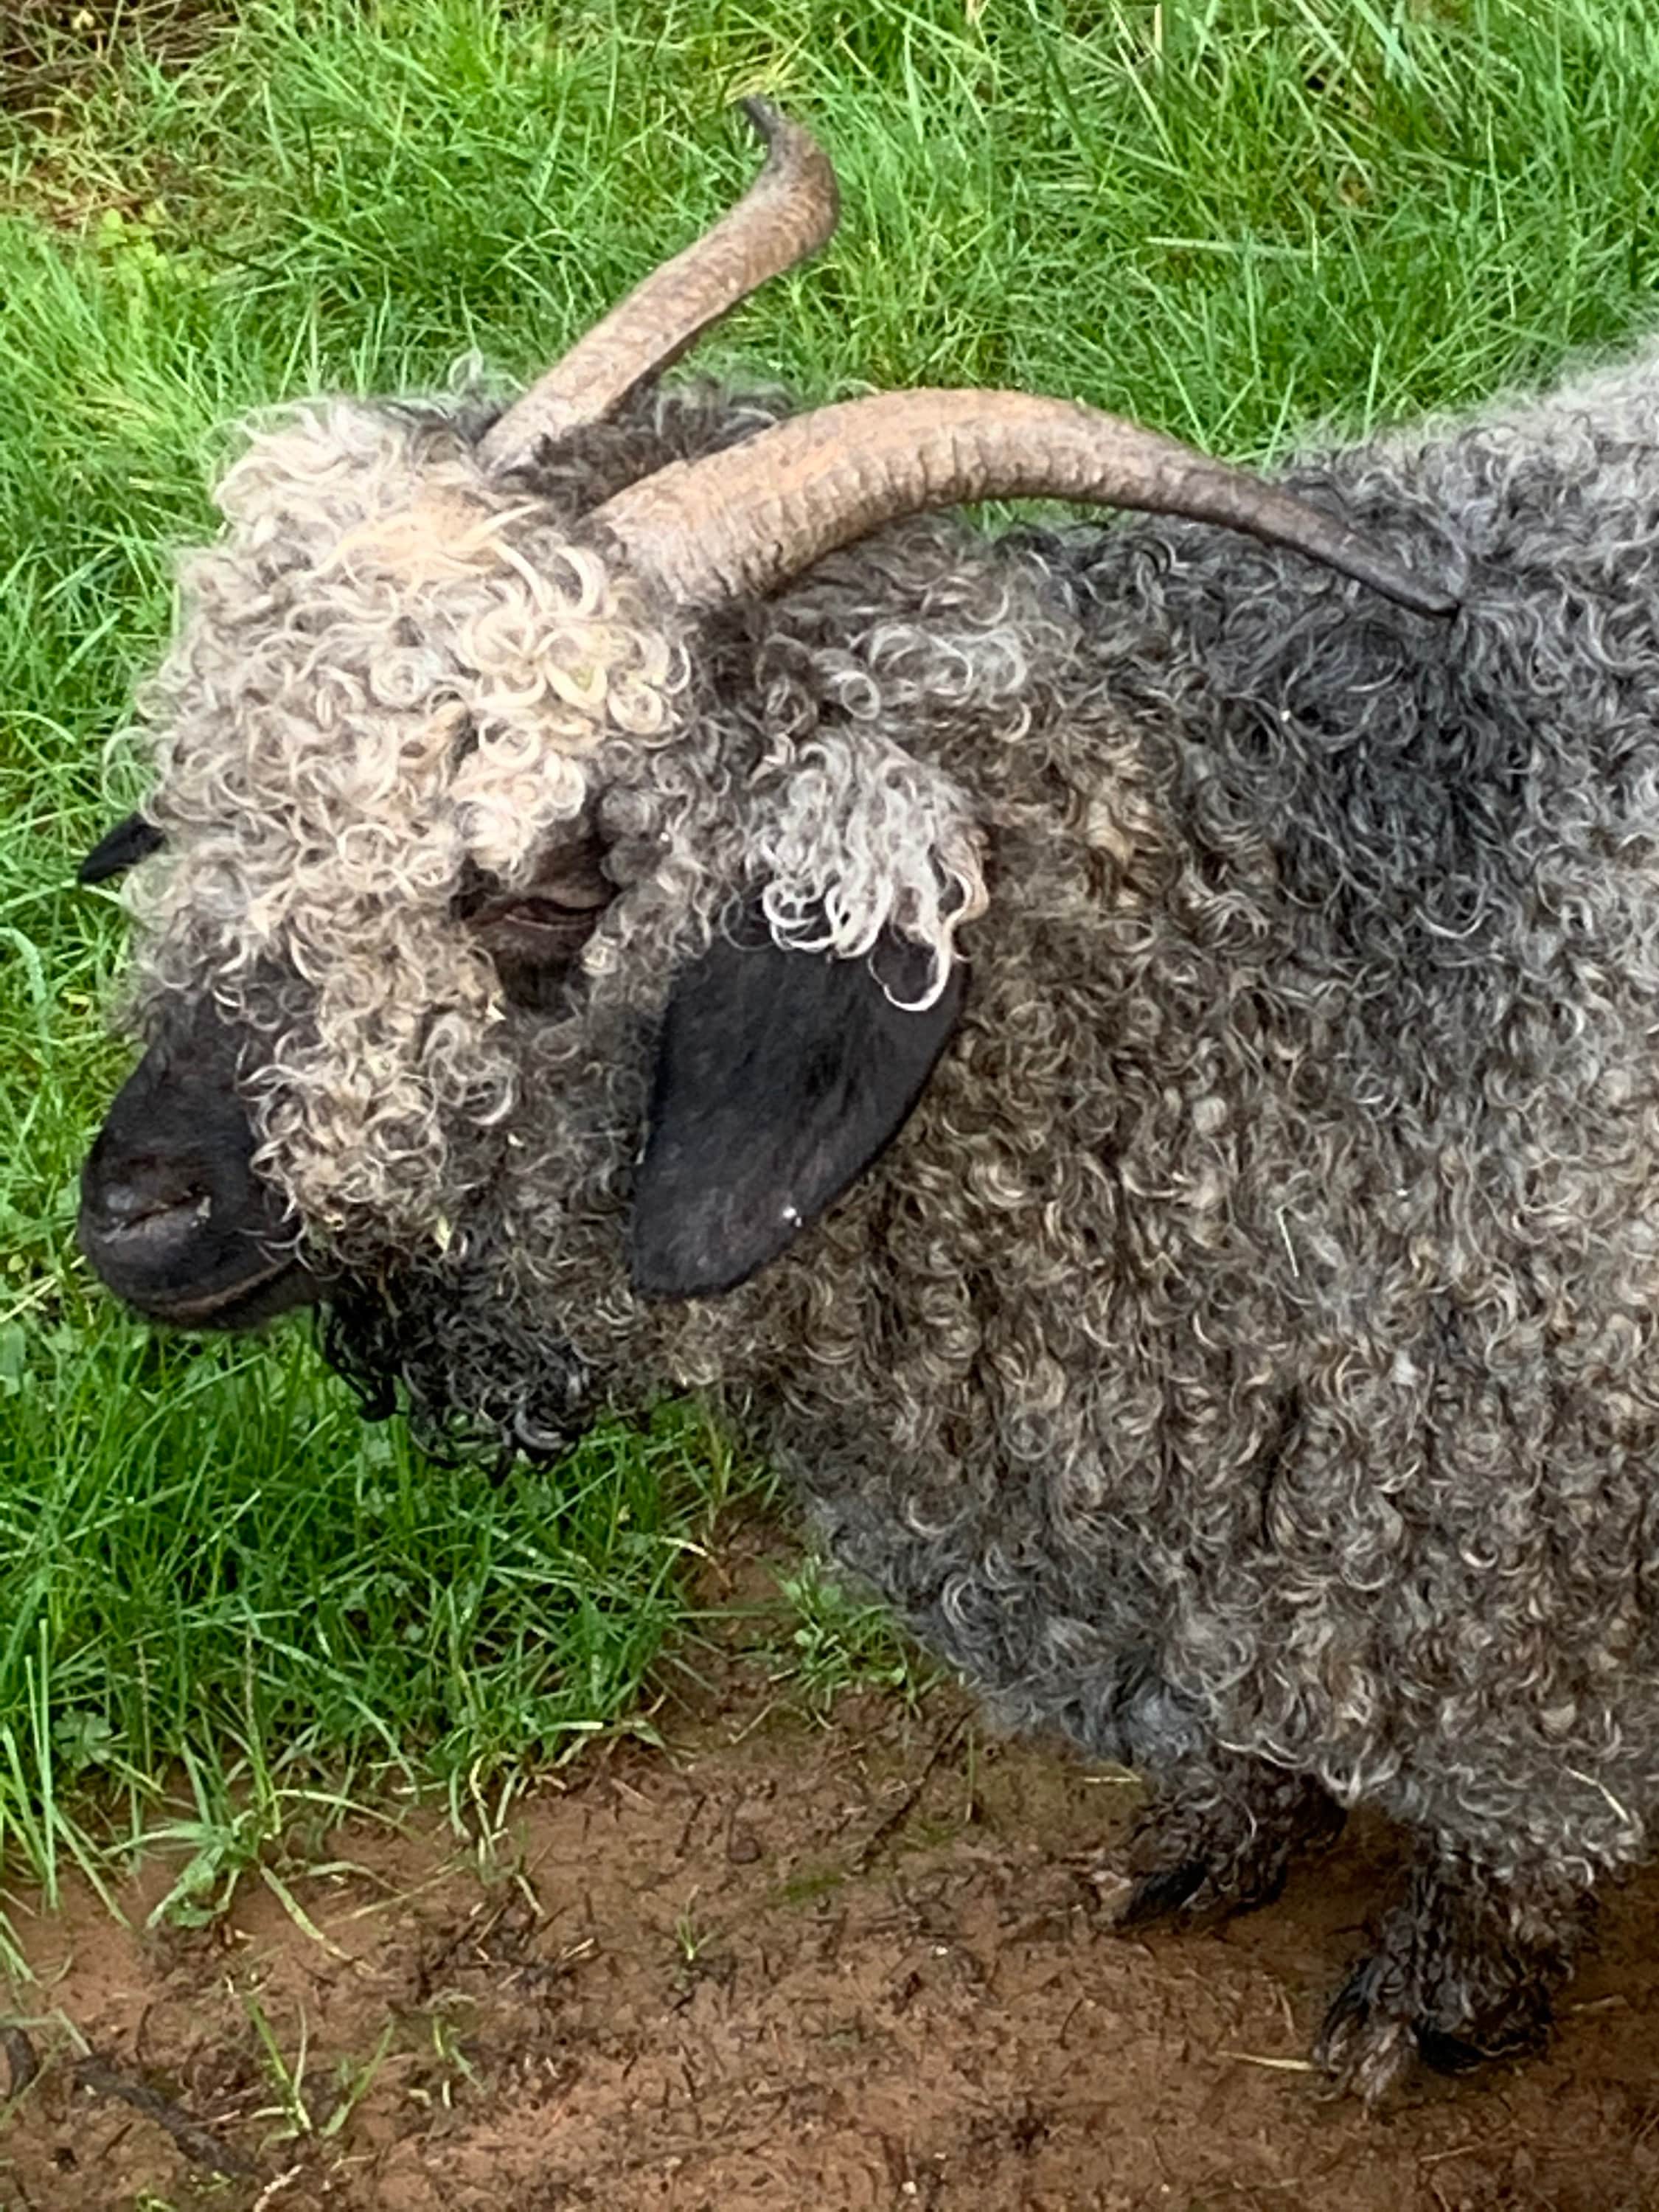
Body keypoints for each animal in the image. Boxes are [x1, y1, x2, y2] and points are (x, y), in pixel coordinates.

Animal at [76, 103, 1659, 2098]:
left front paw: (1449, 1977)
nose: (138, 1212)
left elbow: (1512, 1782)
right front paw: (1224, 1829)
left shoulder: (1531, 1560)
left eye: (549, 883)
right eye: (214, 796)